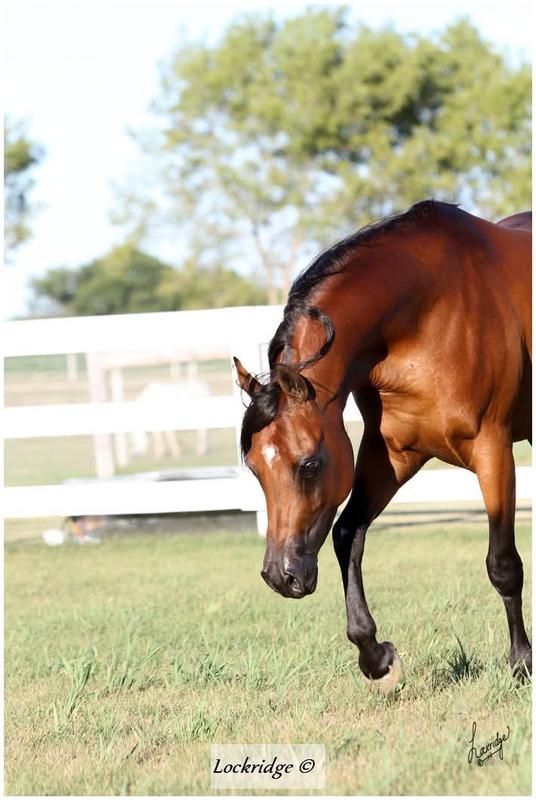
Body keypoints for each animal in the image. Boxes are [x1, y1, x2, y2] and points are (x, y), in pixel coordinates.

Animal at [234, 200, 531, 693]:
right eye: (256, 468)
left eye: (309, 465)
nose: (281, 576)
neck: (429, 311)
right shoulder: (389, 453)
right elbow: (347, 534)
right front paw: (376, 656)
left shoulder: (492, 448)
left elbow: (503, 564)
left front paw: (522, 662)